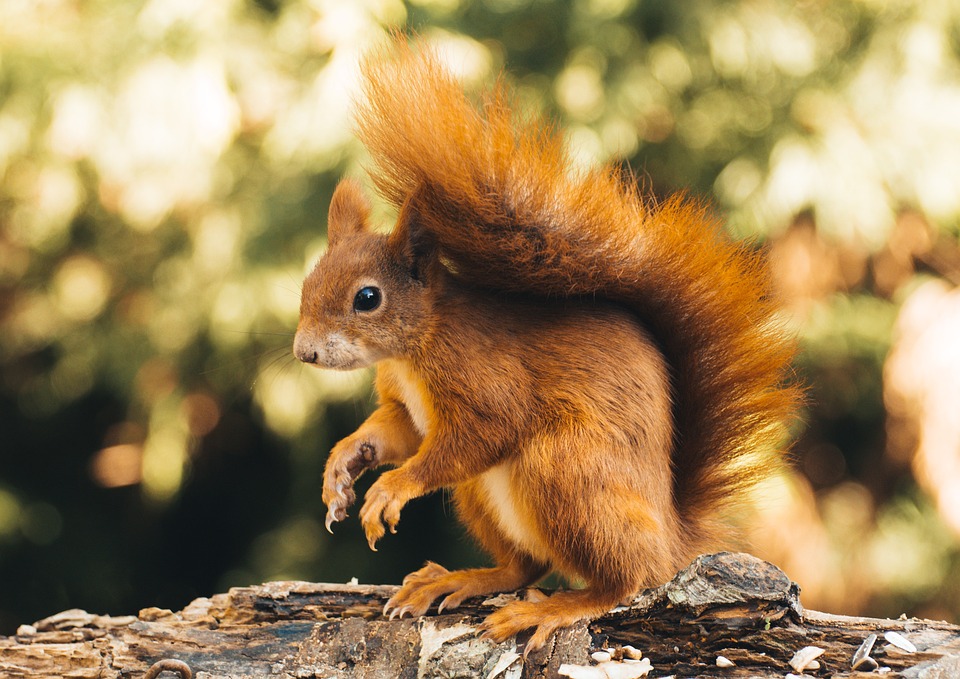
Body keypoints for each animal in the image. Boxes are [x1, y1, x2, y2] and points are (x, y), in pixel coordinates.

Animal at [293, 38, 801, 652]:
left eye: (367, 298)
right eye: (307, 283)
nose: (304, 352)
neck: (415, 348)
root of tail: (671, 537)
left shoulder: (485, 377)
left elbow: (483, 430)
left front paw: (393, 486)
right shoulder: (405, 404)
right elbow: (397, 432)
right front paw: (343, 465)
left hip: (564, 471)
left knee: (623, 580)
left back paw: (555, 609)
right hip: (484, 495)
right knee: (524, 566)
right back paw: (461, 579)